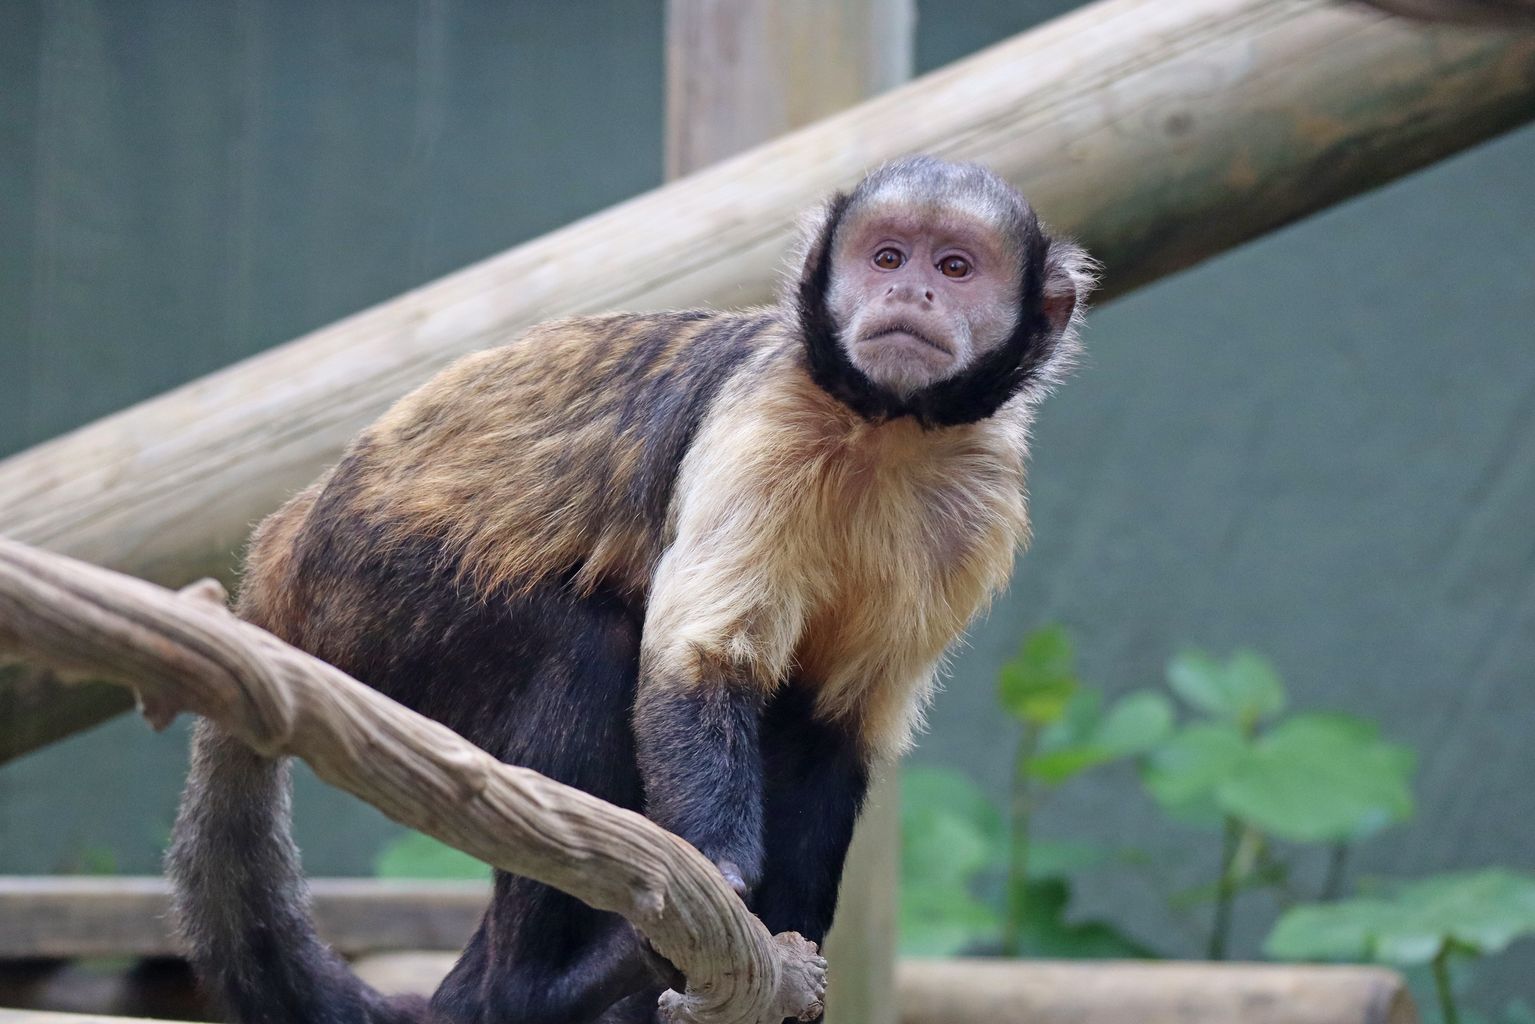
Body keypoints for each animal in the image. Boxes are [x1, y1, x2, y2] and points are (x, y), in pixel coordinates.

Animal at [166, 155, 1094, 1024]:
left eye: (956, 267)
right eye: (887, 256)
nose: (909, 290)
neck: (885, 427)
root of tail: (286, 542)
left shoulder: (976, 502)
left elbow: (833, 724)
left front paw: (783, 946)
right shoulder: (767, 421)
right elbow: (700, 663)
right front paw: (722, 877)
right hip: (370, 597)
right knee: (588, 646)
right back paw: (532, 988)